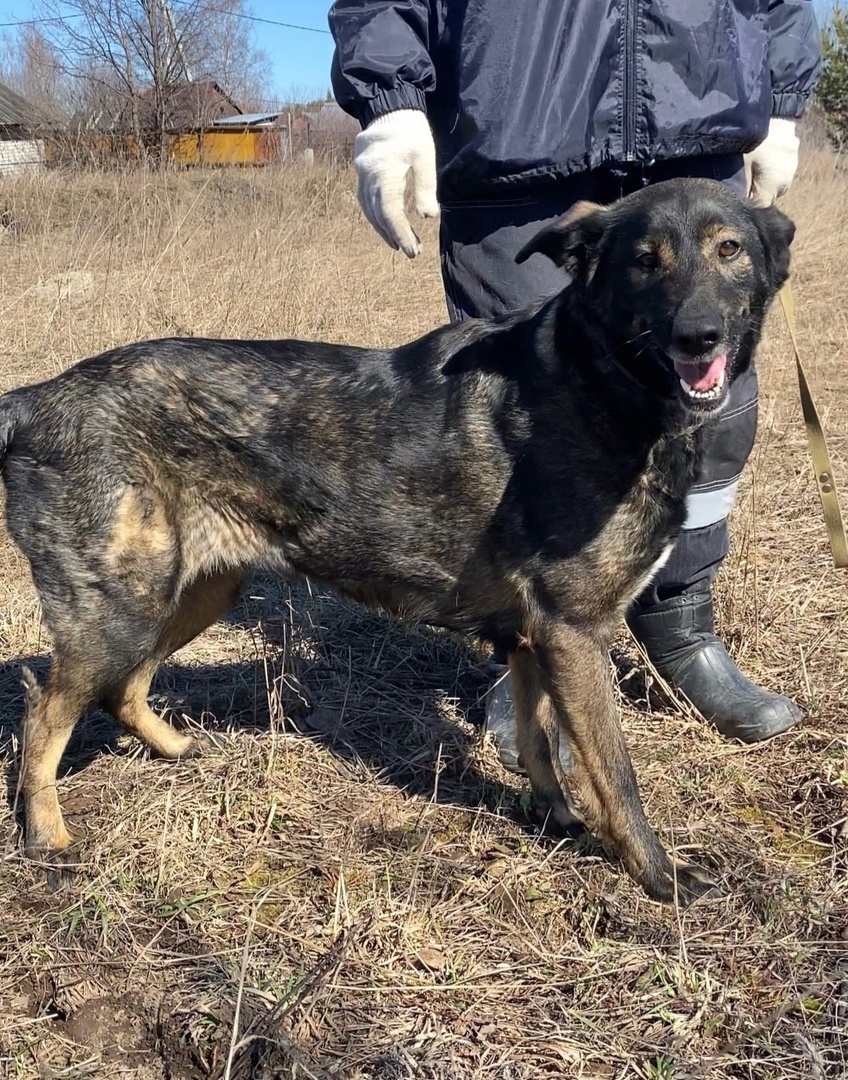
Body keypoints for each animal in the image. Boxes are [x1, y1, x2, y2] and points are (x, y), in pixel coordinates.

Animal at [0, 179, 795, 902]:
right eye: (643, 262)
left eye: (729, 250)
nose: (699, 336)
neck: (598, 379)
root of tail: (34, 399)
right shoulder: (574, 634)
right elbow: (615, 777)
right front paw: (660, 874)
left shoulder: (532, 639)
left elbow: (540, 743)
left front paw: (557, 818)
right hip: (121, 607)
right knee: (45, 710)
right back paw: (47, 838)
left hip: (192, 591)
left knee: (121, 689)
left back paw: (177, 746)